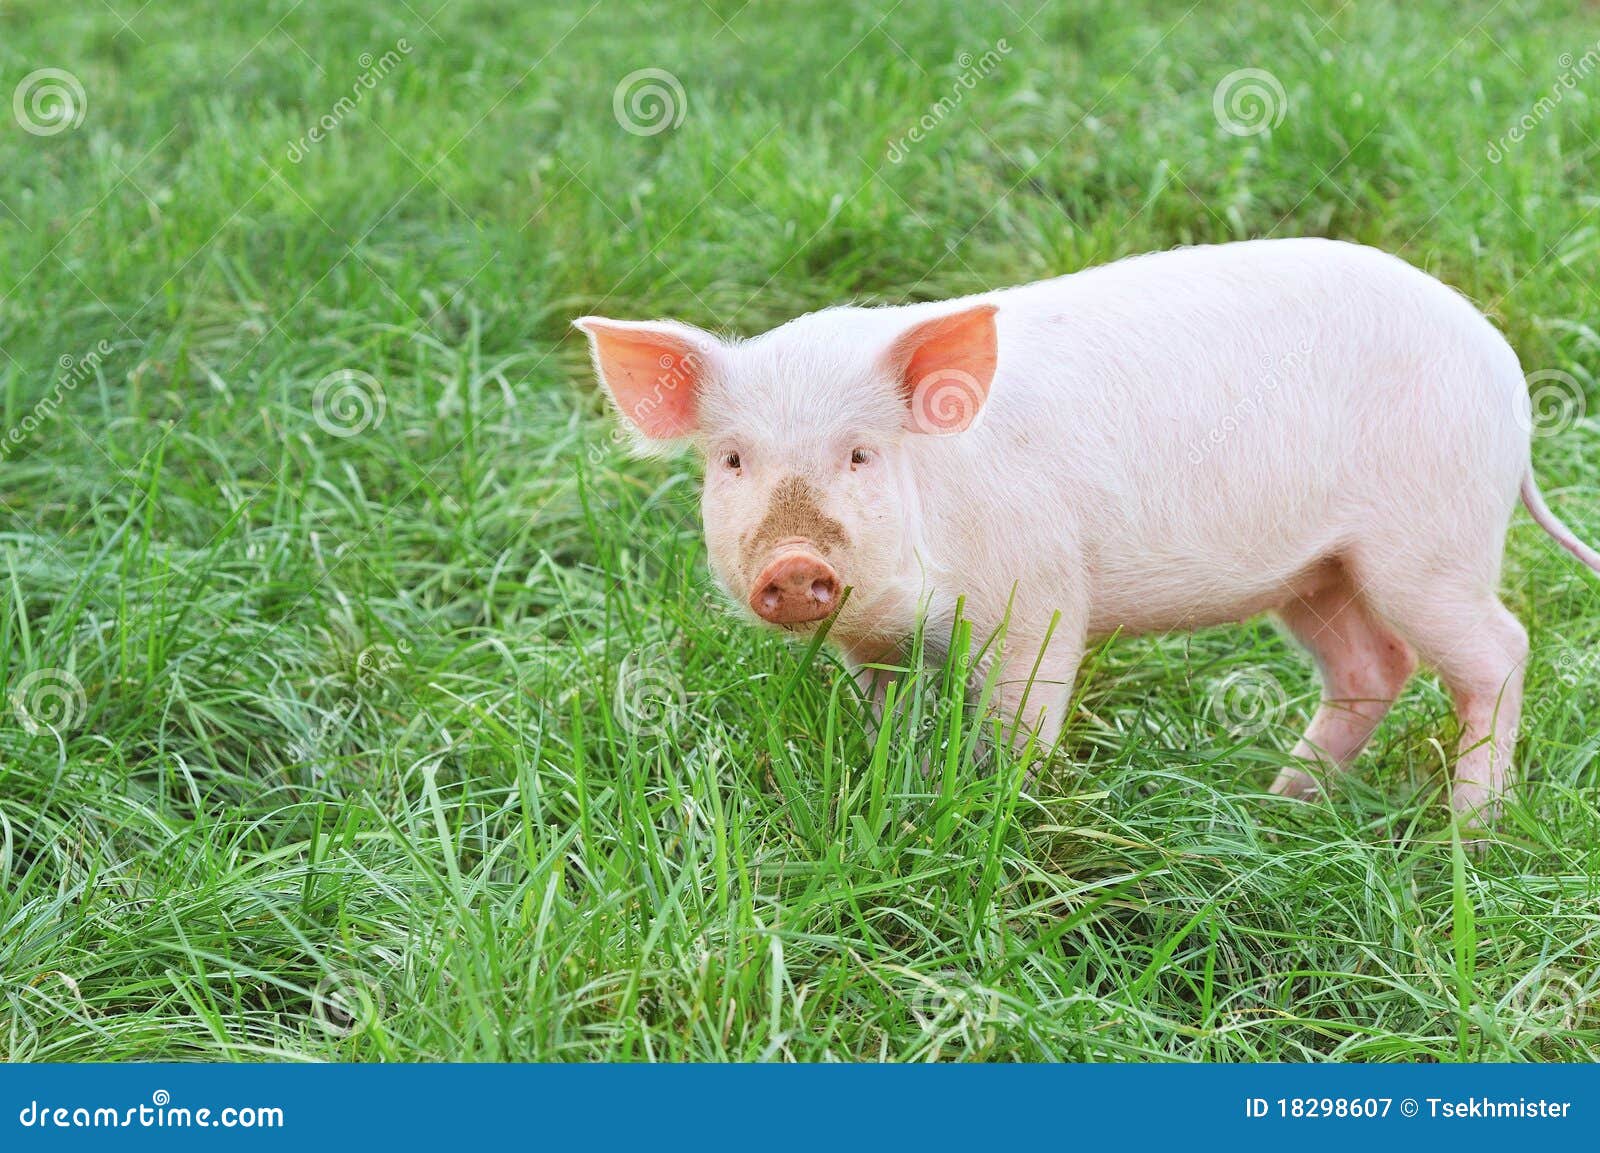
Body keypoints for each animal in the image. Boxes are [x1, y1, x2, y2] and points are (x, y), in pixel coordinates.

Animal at [576, 237, 1600, 819]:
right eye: (732, 460)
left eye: (861, 454)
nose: (792, 565)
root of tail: (1506, 372)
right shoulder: (870, 647)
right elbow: (888, 721)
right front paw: (896, 791)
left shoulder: (1038, 598)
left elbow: (1020, 720)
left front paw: (993, 814)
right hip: (1320, 568)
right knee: (1374, 664)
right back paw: (1285, 802)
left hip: (1428, 540)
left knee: (1499, 649)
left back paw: (1469, 831)